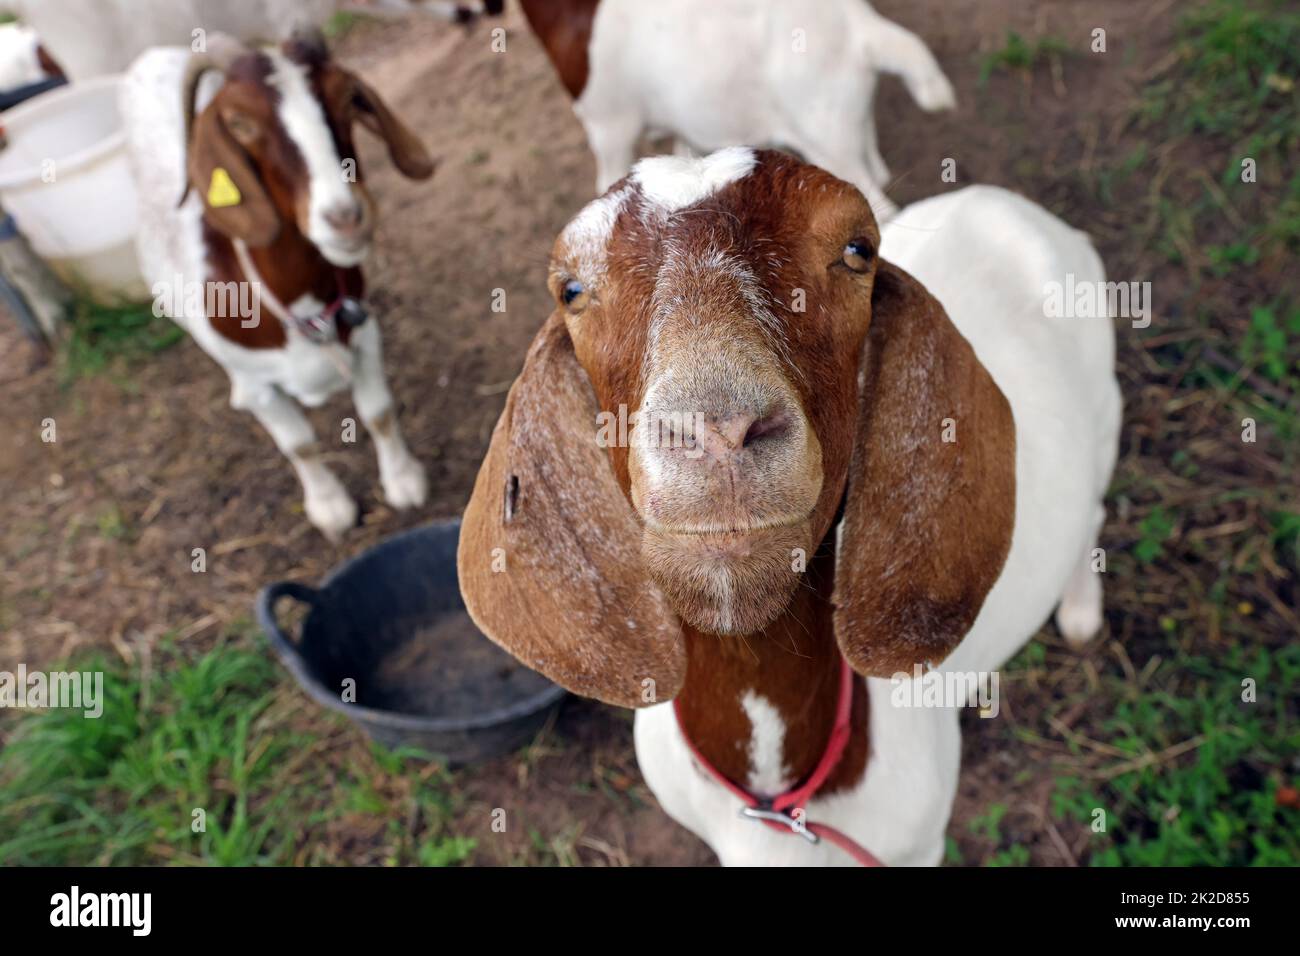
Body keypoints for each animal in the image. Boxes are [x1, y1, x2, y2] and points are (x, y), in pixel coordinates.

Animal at [121, 29, 435, 538]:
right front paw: (330, 508)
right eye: (239, 122)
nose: (345, 218)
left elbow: (379, 412)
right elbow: (299, 444)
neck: (294, 302)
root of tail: (149, 57)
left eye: (348, 97)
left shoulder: (364, 332)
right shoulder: (256, 386)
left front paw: (404, 481)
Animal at [458, 148, 1122, 866]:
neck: (778, 805)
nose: (717, 427)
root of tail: (1007, 203)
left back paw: (1081, 612)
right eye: (572, 290)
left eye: (858, 249)